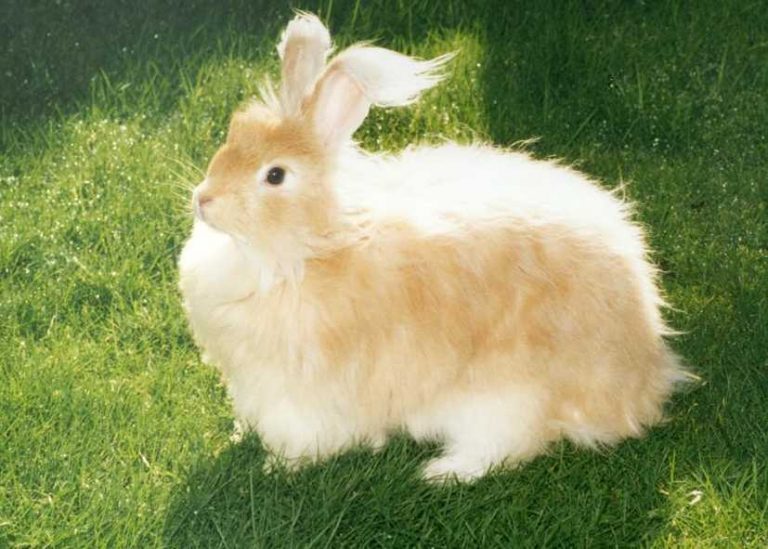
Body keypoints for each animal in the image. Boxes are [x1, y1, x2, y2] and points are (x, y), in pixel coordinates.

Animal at [178, 12, 689, 482]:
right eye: (232, 135)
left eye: (275, 175)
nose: (203, 200)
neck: (314, 247)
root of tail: (643, 381)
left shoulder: (301, 394)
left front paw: (279, 466)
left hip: (505, 395)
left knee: (508, 446)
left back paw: (442, 472)